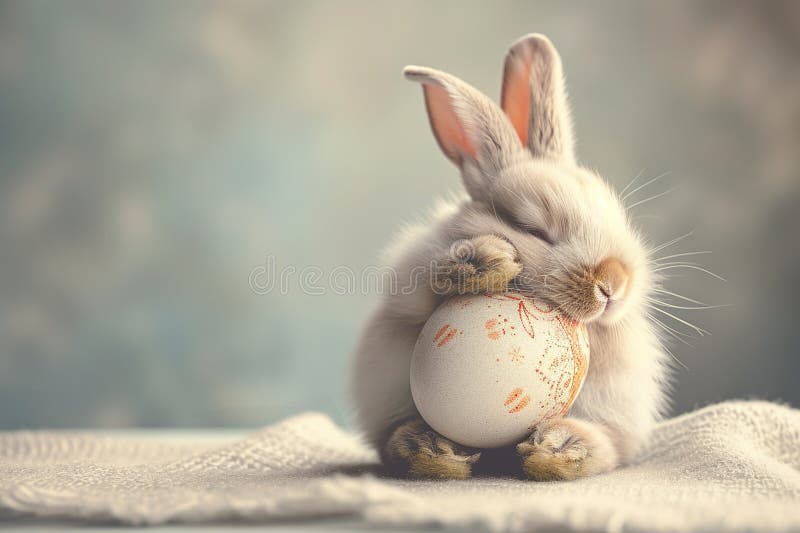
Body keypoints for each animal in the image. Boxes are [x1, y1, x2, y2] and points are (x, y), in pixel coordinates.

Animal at [351, 34, 671, 481]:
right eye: (534, 230)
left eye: (616, 215)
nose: (614, 283)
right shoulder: (410, 277)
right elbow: (427, 284)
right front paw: (486, 262)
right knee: (390, 441)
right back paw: (429, 450)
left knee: (610, 446)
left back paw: (559, 450)